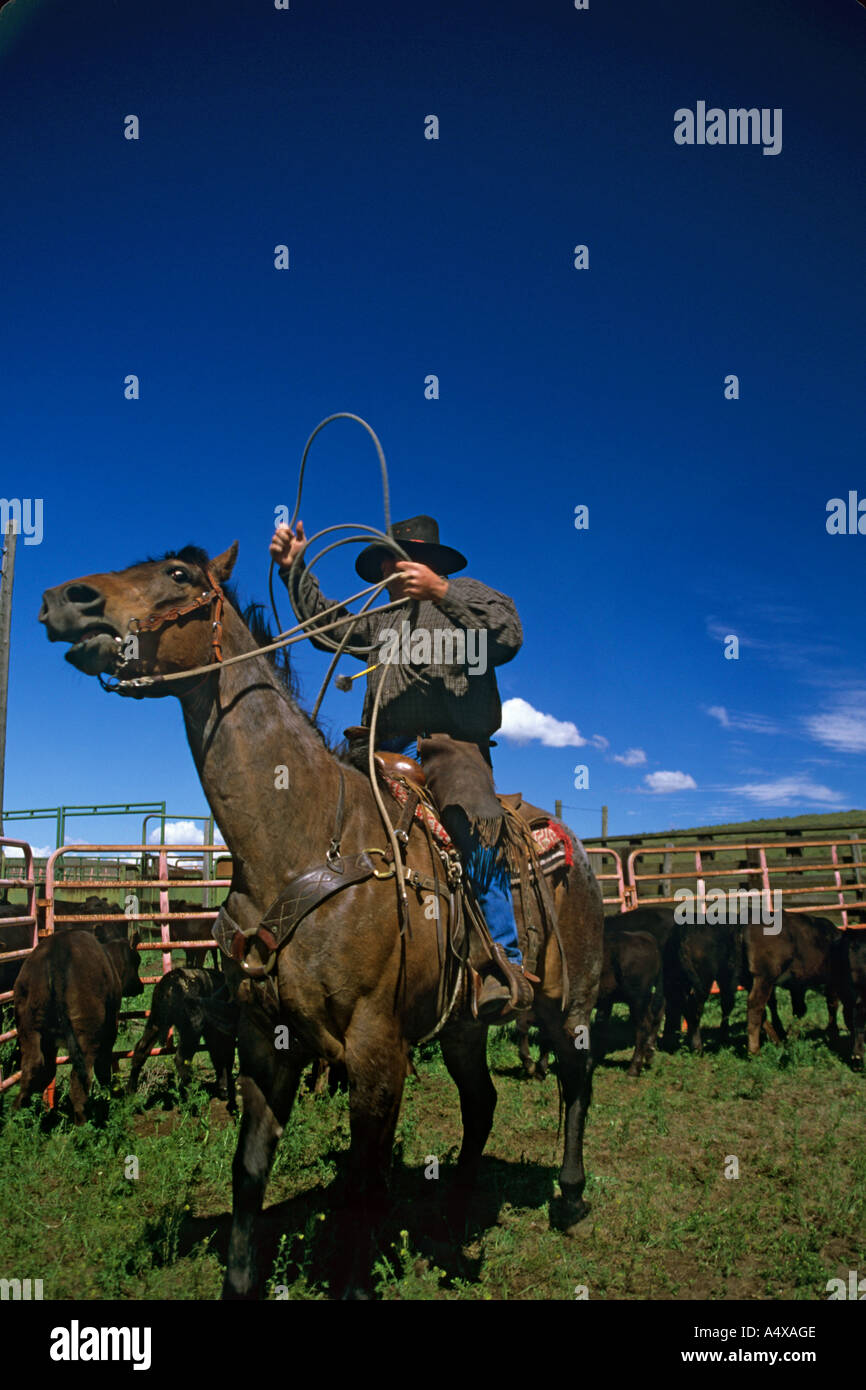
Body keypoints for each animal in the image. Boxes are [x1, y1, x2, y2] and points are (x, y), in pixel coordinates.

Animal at [13, 929, 144, 1124]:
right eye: (137, 960)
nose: (141, 986)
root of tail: (56, 951)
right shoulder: (109, 1030)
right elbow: (103, 1067)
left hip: (29, 1029)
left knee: (32, 1066)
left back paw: (19, 1114)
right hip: (86, 1035)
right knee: (79, 1077)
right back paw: (82, 1121)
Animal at [126, 967, 237, 1109]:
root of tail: (169, 984)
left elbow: (218, 1057)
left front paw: (223, 1088)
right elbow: (226, 1058)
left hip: (155, 1022)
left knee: (141, 1050)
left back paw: (130, 1094)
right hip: (191, 1029)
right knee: (181, 1059)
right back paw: (191, 1099)